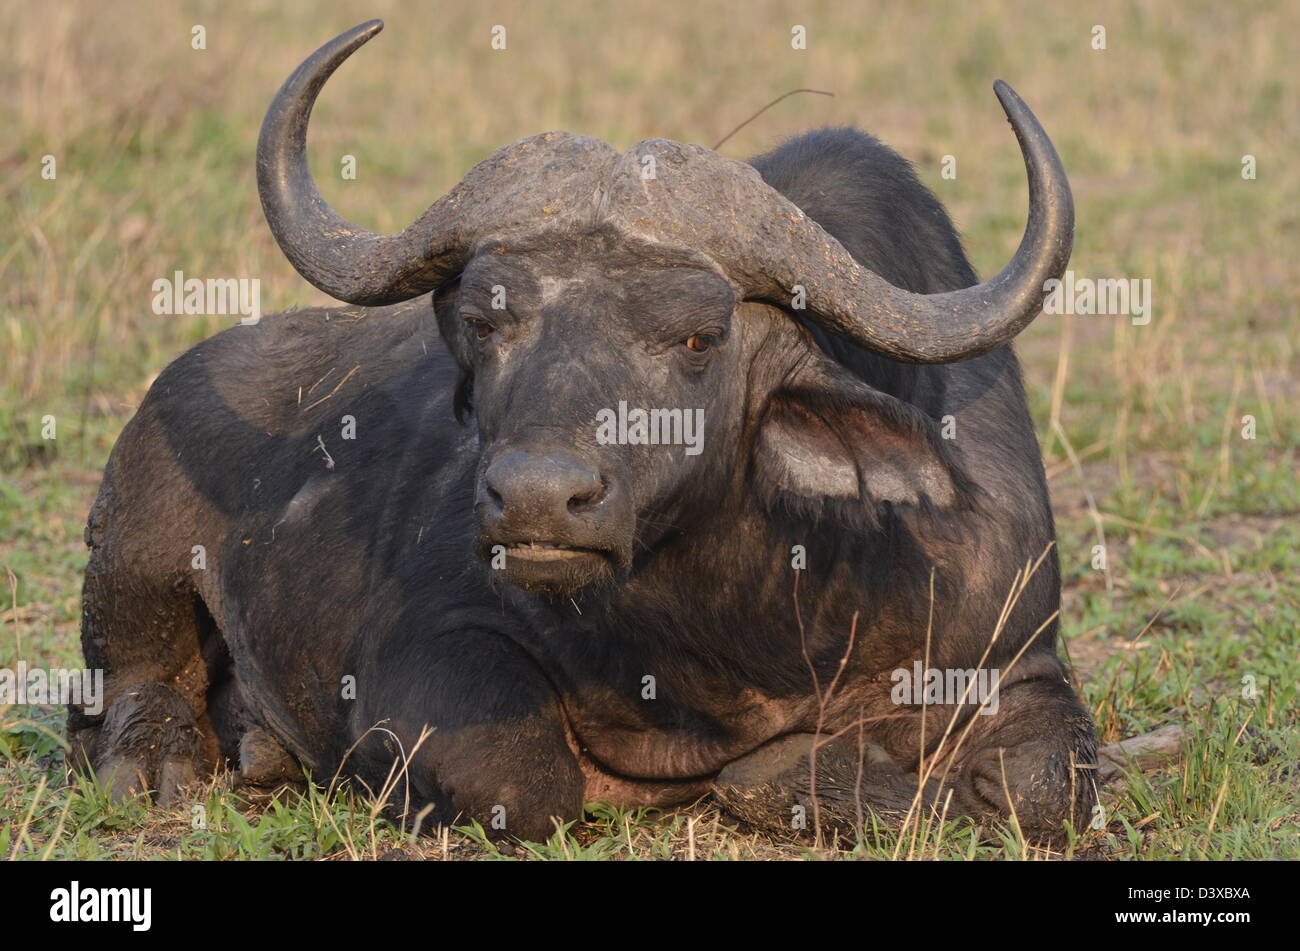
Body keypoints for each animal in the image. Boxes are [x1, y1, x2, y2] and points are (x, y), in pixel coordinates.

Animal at [70, 20, 1098, 842]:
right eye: (484, 319)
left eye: (698, 335)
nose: (535, 498)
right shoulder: (426, 655)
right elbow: (521, 779)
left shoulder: (1018, 657)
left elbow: (1043, 787)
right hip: (133, 559)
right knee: (133, 680)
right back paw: (170, 760)